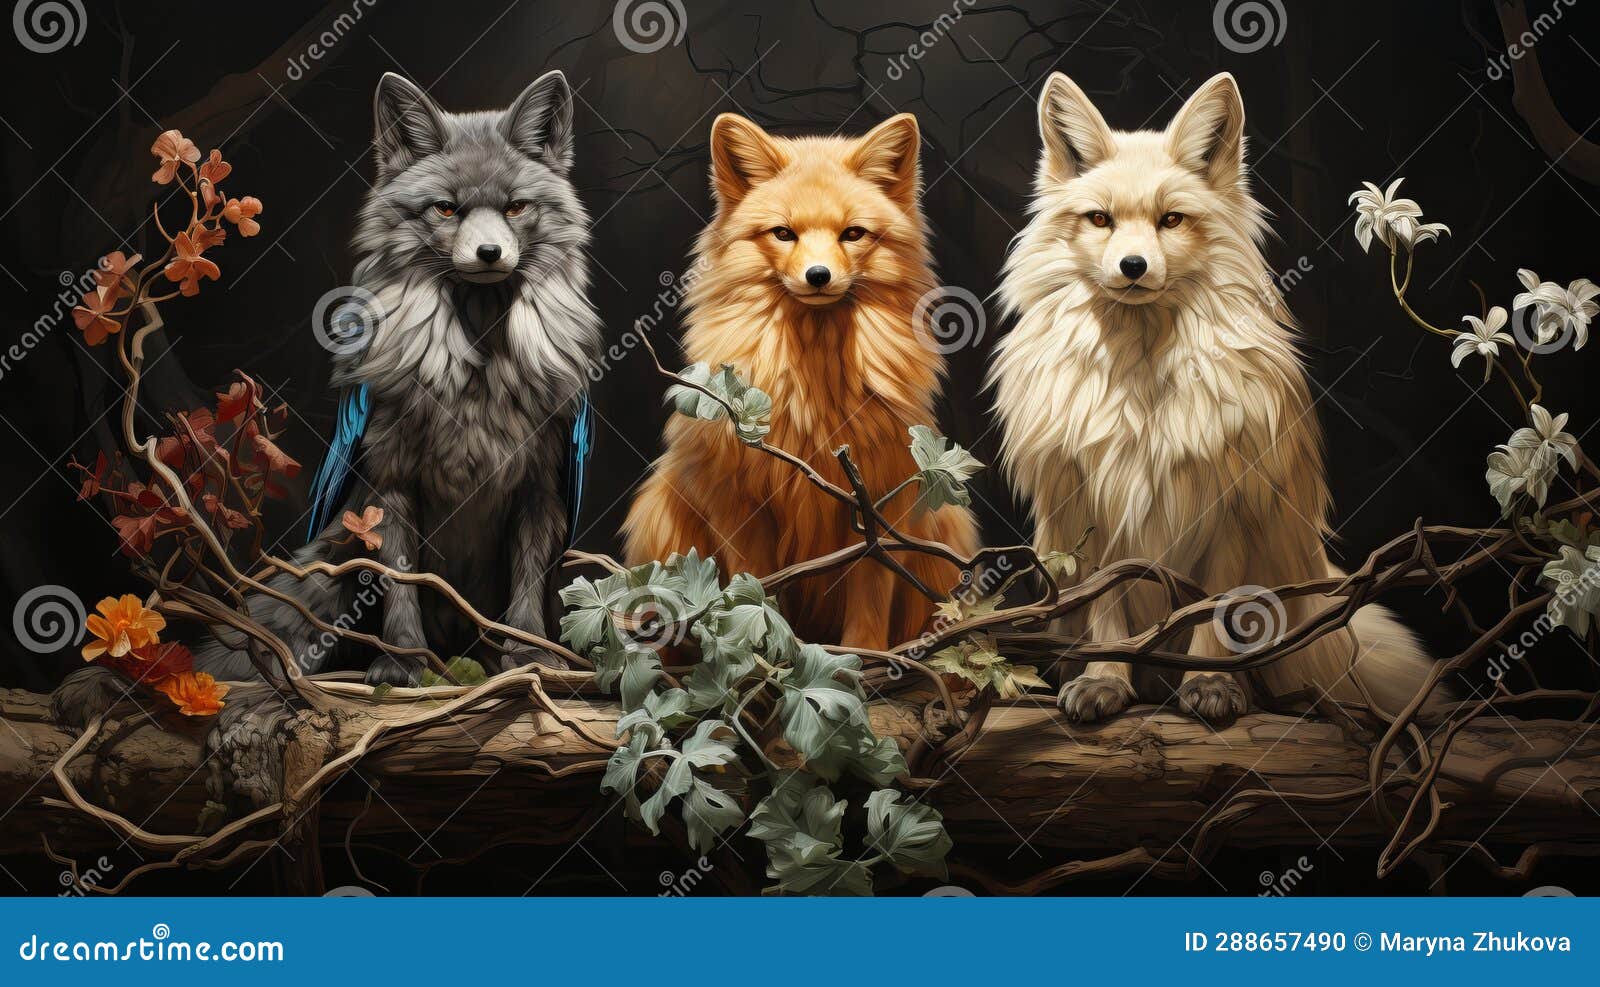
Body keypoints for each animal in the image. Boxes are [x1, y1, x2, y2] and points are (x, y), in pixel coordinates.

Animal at [623, 112, 978, 651]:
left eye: (853, 233)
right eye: (783, 233)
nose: (818, 275)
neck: (813, 397)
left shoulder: (875, 503)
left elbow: (870, 594)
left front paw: (862, 657)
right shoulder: (740, 504)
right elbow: (755, 590)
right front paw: (761, 652)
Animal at [990, 72, 1438, 725]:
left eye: (1171, 220)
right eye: (1100, 219)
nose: (1132, 265)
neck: (1142, 388)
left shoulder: (1232, 510)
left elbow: (1218, 609)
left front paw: (1210, 683)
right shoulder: (1090, 512)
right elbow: (1108, 614)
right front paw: (1104, 681)